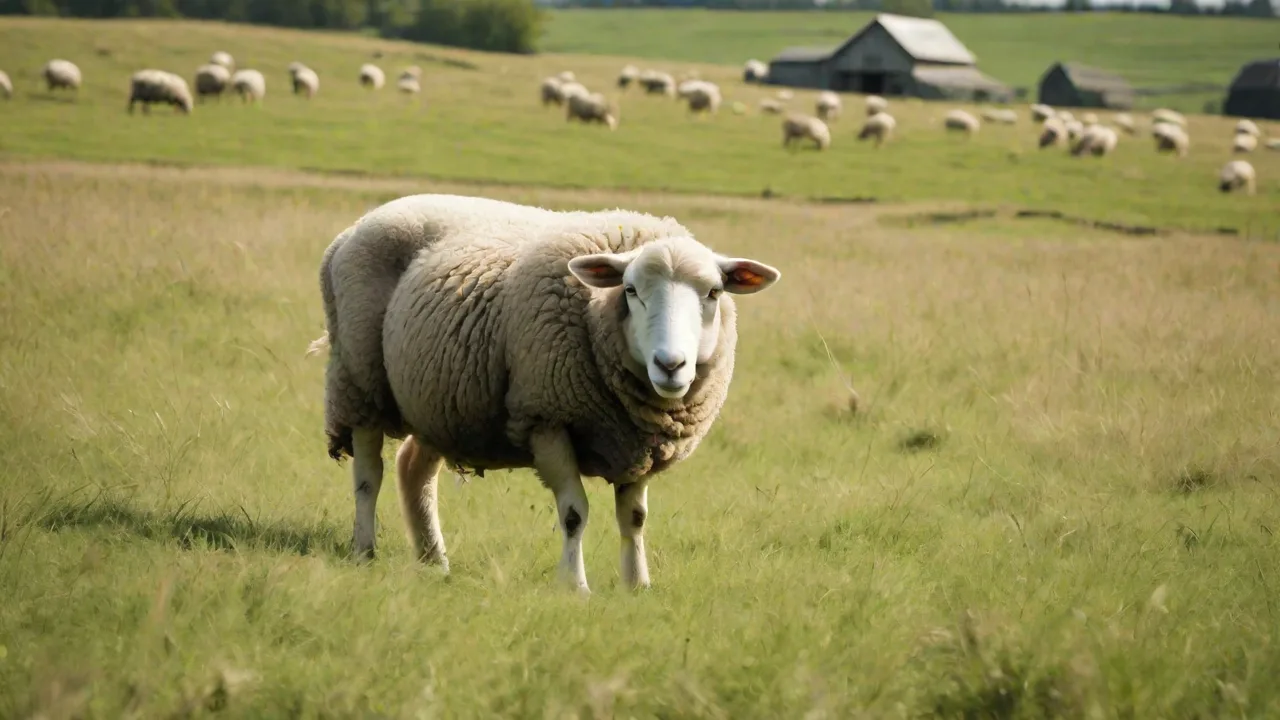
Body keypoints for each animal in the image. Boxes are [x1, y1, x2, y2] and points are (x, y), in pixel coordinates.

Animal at [311, 193, 780, 590]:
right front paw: (575, 587)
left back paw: (435, 562)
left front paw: (637, 586)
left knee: (414, 471)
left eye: (714, 292)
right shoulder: (547, 420)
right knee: (368, 476)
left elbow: (635, 519)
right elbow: (574, 514)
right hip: (357, 380)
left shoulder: (640, 441)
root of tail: (355, 227)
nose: (670, 365)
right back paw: (365, 550)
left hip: (441, 404)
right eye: (630, 290)